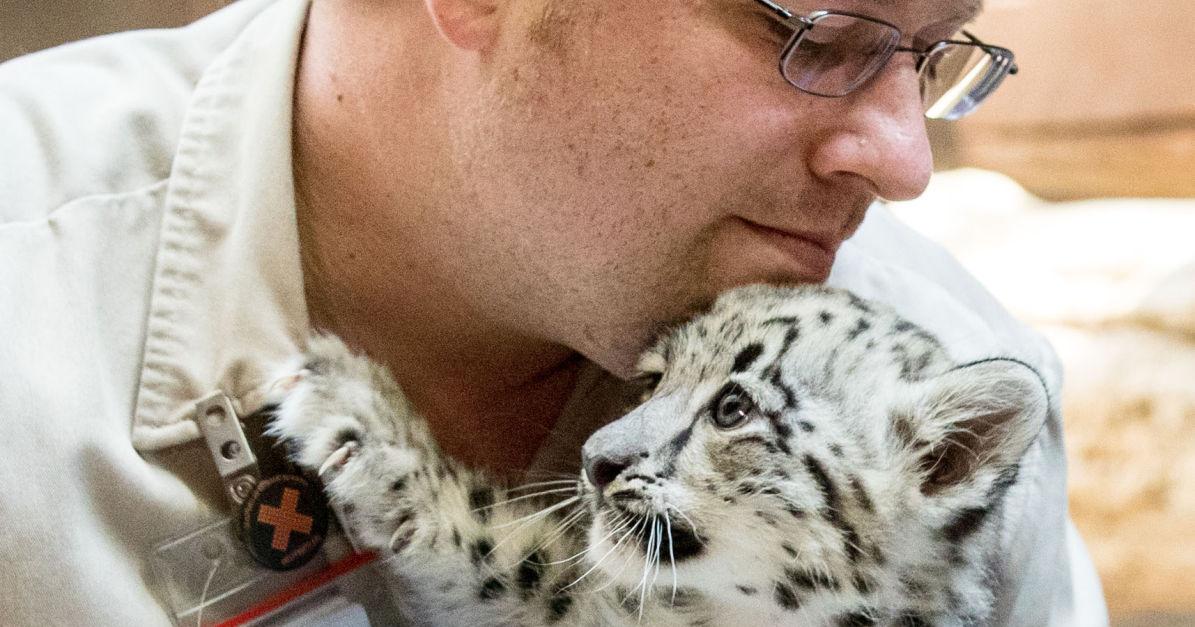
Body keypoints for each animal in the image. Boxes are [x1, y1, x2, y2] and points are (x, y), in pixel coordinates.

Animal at [267, 284, 1048, 626]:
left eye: (733, 408)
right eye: (652, 379)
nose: (595, 459)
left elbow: (507, 548)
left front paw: (352, 412)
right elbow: (523, 564)